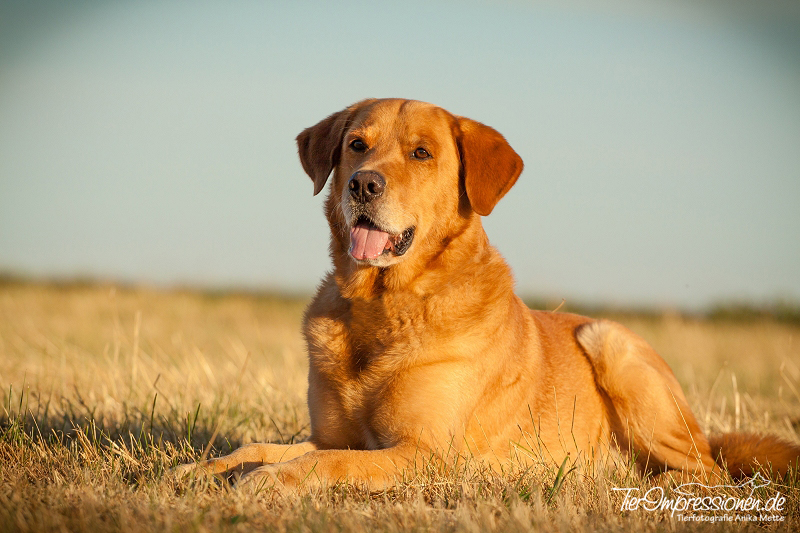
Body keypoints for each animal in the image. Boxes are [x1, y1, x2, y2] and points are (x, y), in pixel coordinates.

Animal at [180, 98, 800, 490]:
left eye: (422, 153)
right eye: (356, 145)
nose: (362, 184)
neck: (384, 305)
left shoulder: (423, 452)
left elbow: (323, 465)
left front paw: (267, 482)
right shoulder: (336, 436)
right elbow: (261, 446)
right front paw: (199, 469)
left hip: (611, 343)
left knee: (705, 472)